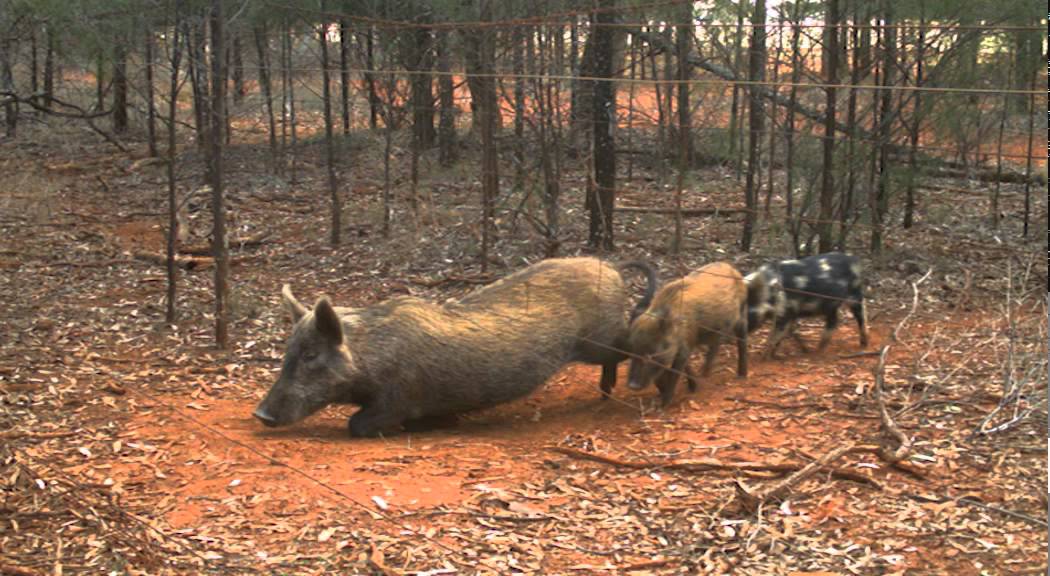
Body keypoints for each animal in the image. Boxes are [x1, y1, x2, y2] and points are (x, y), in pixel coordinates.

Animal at [252, 257, 657, 437]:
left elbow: (358, 424)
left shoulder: (397, 398)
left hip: (600, 339)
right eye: (288, 352)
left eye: (311, 355)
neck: (369, 356)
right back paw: (605, 394)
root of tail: (611, 267)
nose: (261, 414)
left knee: (630, 342)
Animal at [626, 261, 748, 407]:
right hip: (716, 330)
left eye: (652, 354)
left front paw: (663, 406)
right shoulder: (685, 345)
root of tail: (732, 268)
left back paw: (741, 375)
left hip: (741, 315)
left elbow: (674, 373)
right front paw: (694, 388)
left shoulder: (684, 345)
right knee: (715, 345)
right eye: (632, 350)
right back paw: (704, 374)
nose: (632, 386)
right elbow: (686, 366)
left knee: (742, 340)